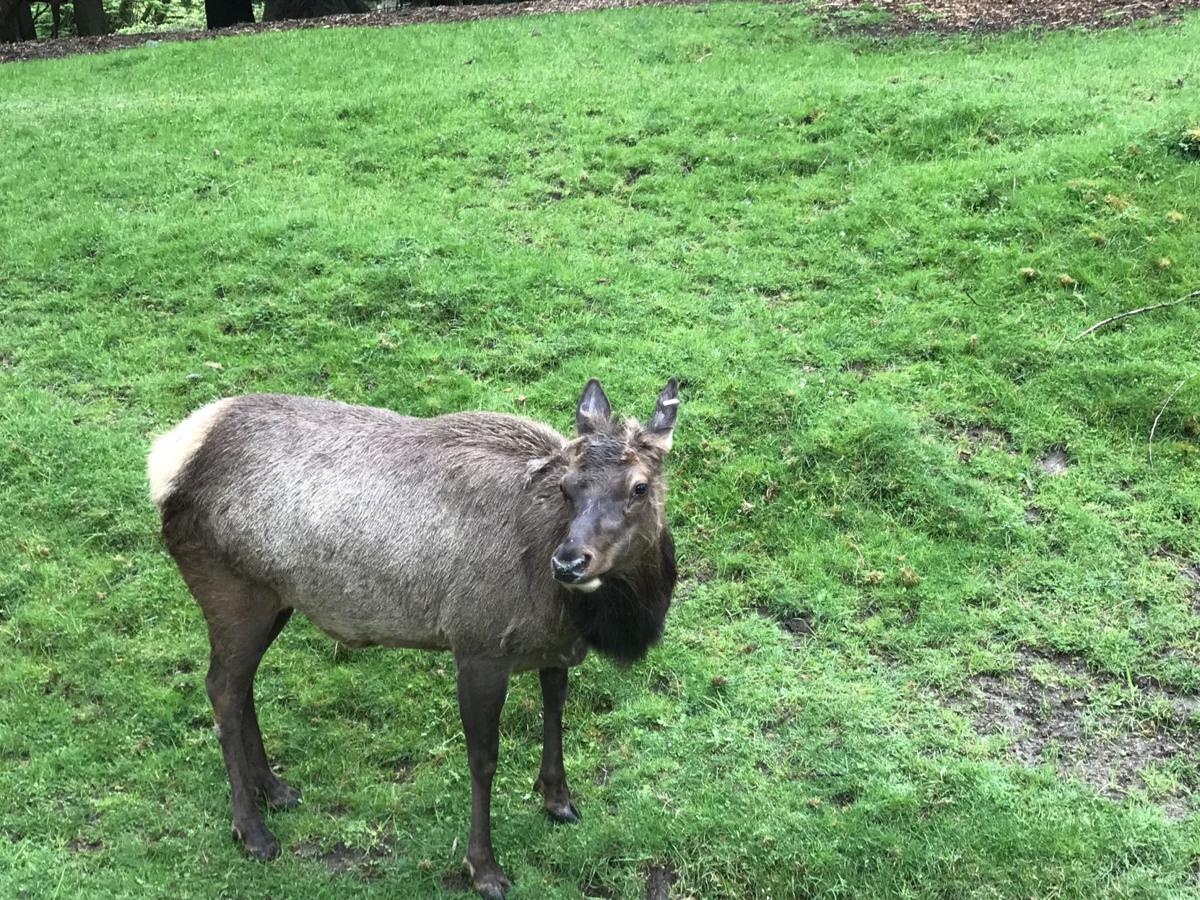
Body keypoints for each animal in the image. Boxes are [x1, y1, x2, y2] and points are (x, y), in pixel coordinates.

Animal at [147, 378, 680, 900]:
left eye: (639, 486)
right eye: (568, 487)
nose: (569, 563)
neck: (575, 612)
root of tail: (167, 460)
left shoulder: (552, 646)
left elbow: (556, 712)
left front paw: (558, 800)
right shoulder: (479, 645)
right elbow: (483, 760)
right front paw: (483, 867)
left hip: (274, 599)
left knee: (241, 687)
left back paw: (275, 790)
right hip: (232, 591)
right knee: (221, 689)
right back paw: (253, 831)